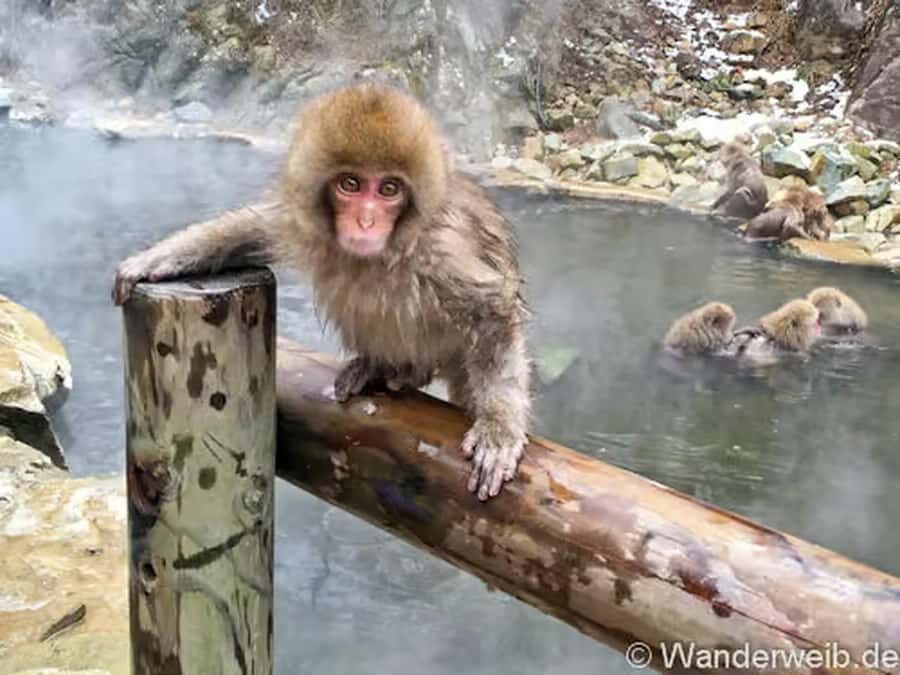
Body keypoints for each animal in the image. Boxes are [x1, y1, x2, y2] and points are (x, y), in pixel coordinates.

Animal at [112, 82, 531, 501]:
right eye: (351, 184)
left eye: (389, 189)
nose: (366, 221)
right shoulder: (300, 220)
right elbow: (254, 229)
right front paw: (156, 258)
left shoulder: (442, 251)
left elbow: (492, 314)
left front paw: (499, 429)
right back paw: (381, 368)